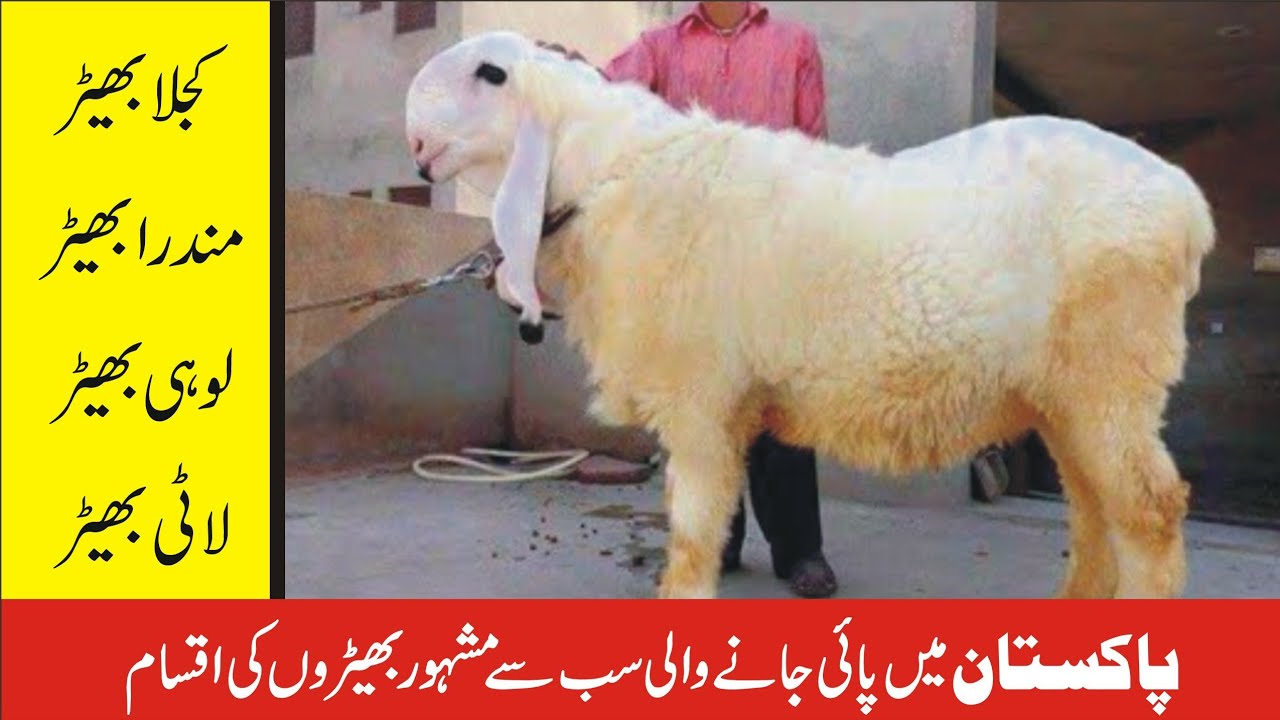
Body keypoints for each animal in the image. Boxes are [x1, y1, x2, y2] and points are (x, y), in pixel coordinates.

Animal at [404, 31, 1216, 600]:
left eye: (490, 73)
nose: (414, 145)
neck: (613, 175)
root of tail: (1186, 205)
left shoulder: (699, 397)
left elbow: (693, 531)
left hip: (1112, 369)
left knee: (1148, 510)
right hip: (1068, 393)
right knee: (1093, 506)